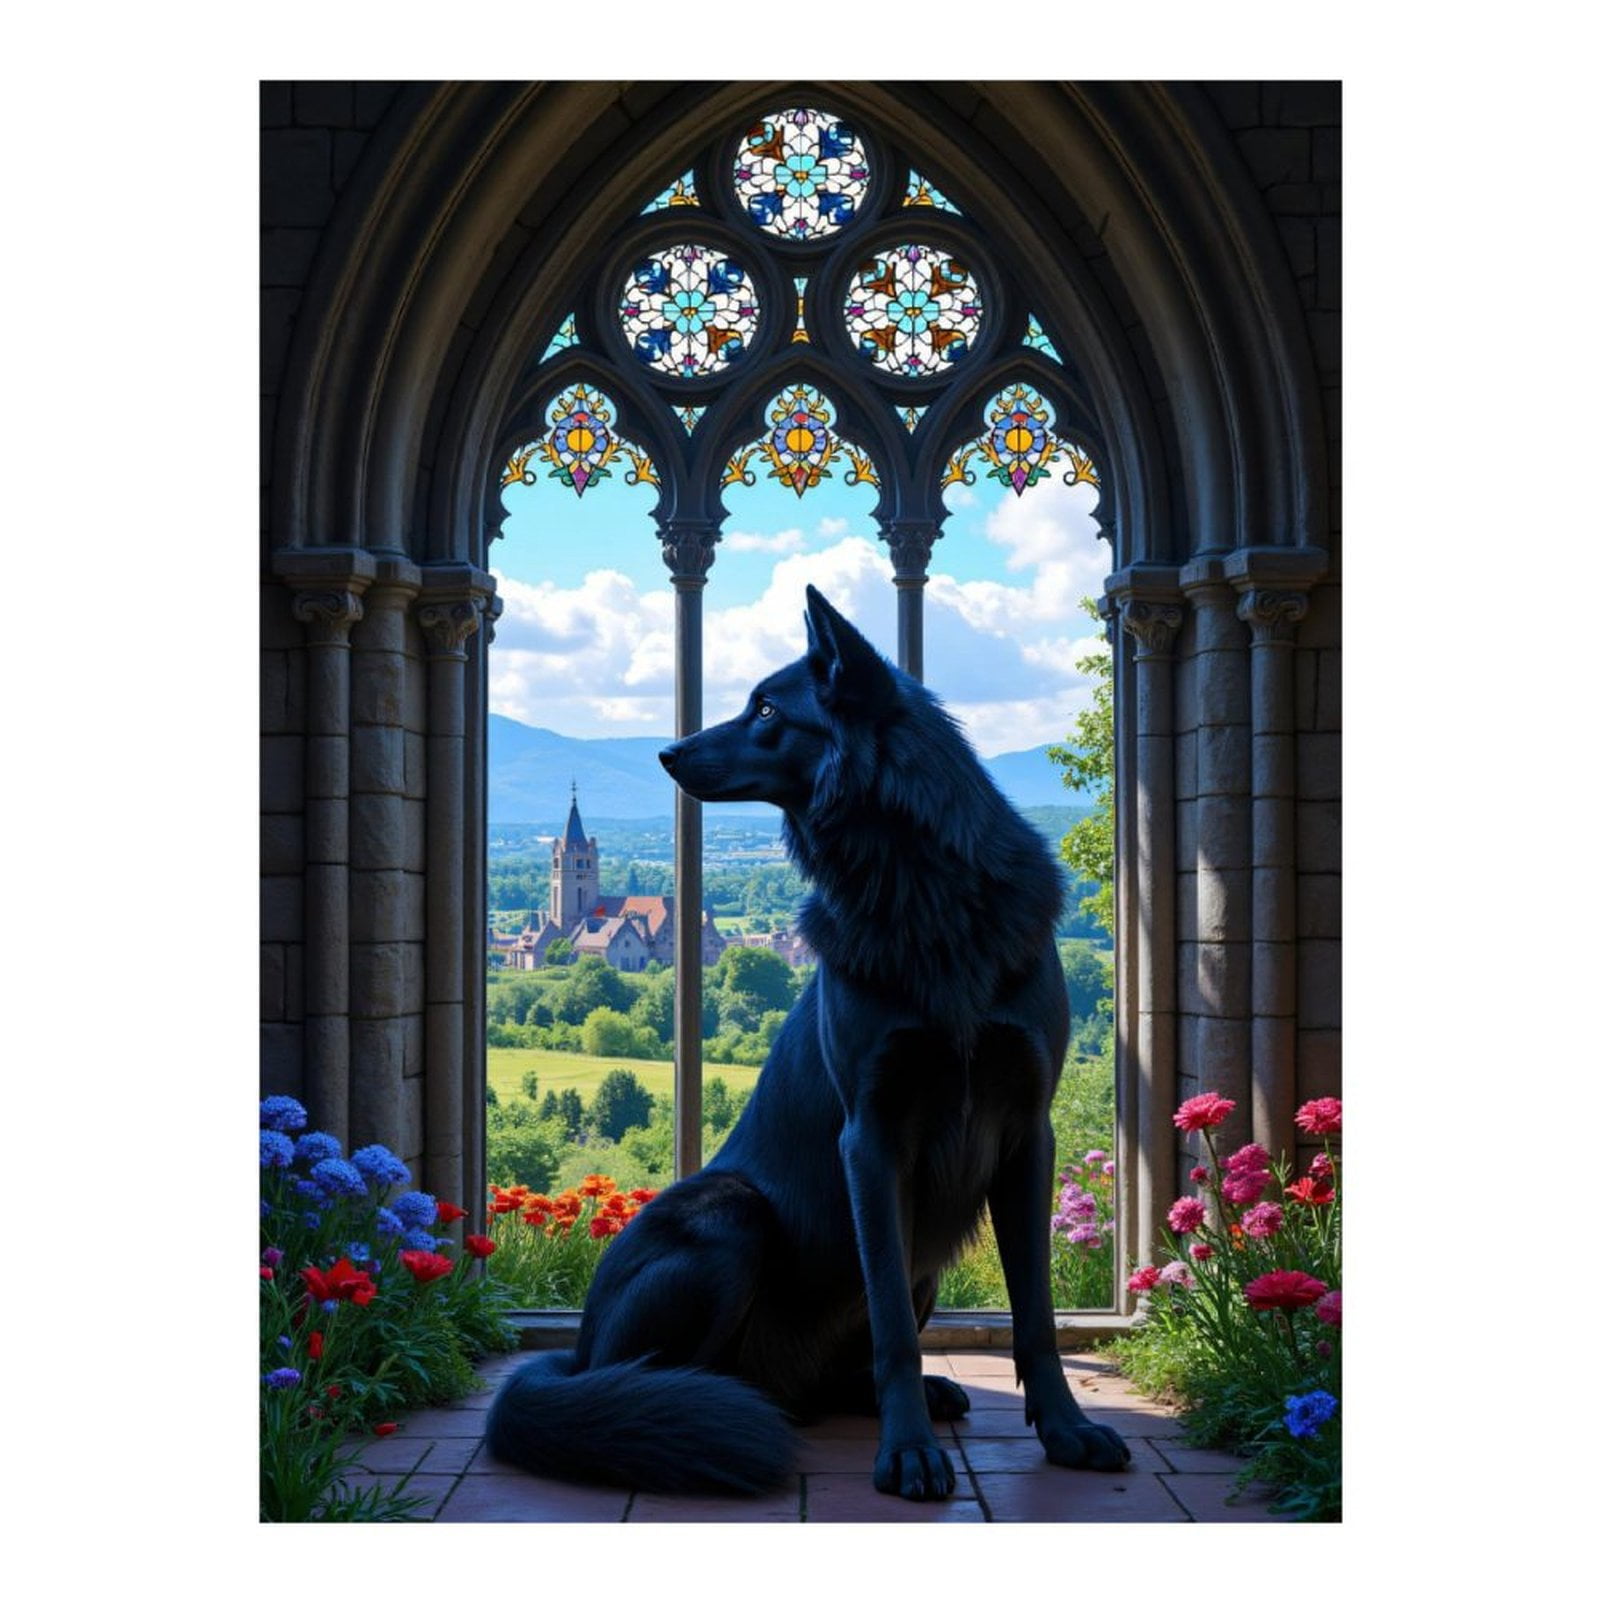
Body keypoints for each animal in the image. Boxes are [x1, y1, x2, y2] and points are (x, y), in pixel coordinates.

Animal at [485, 586, 1130, 1499]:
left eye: (765, 709)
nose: (665, 750)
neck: (920, 887)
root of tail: (572, 1355)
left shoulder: (1025, 1134)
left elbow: (1033, 1313)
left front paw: (1067, 1429)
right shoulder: (870, 1136)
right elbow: (892, 1321)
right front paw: (907, 1453)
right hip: (729, 1217)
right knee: (644, 1378)